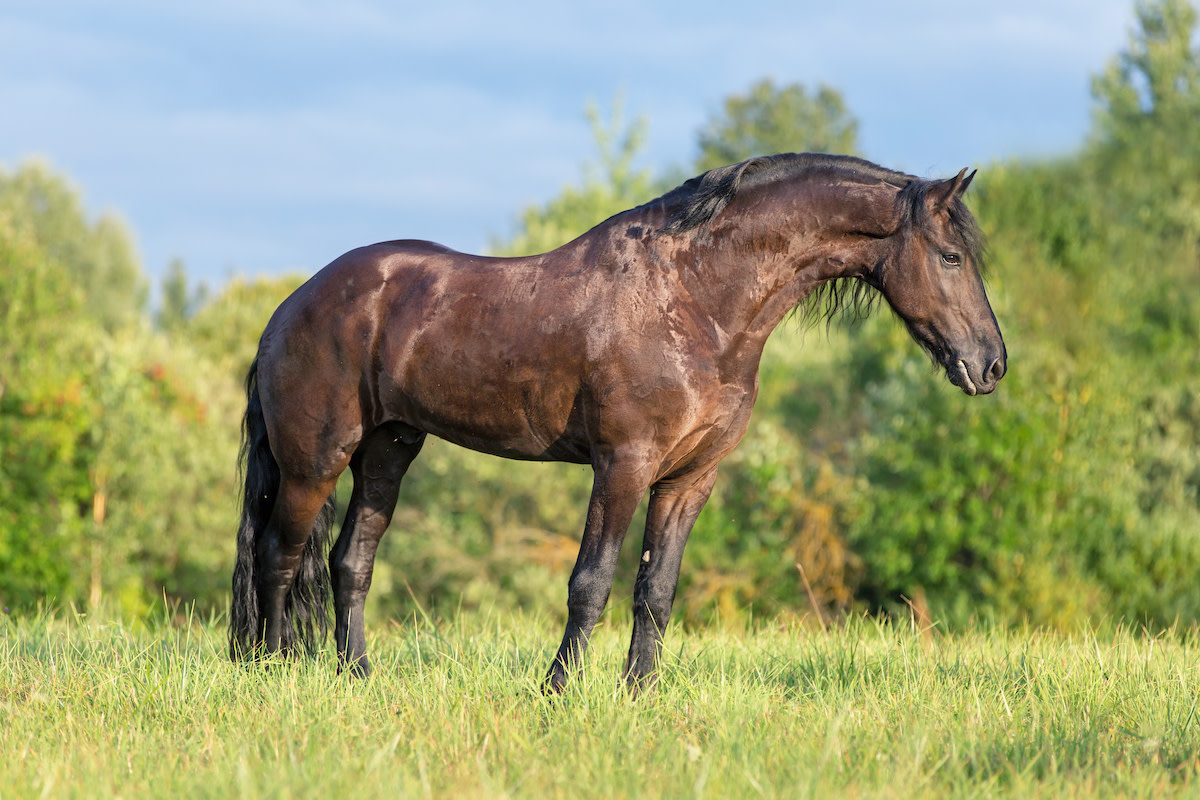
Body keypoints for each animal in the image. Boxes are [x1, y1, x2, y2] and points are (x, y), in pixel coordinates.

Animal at [229, 152, 1006, 691]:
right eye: (950, 256)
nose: (991, 364)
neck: (694, 296)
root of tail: (287, 309)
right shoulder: (623, 464)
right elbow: (591, 582)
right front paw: (559, 691)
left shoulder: (690, 478)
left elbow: (655, 592)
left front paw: (639, 694)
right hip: (315, 461)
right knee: (278, 556)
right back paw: (271, 670)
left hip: (388, 450)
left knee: (349, 562)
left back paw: (357, 676)